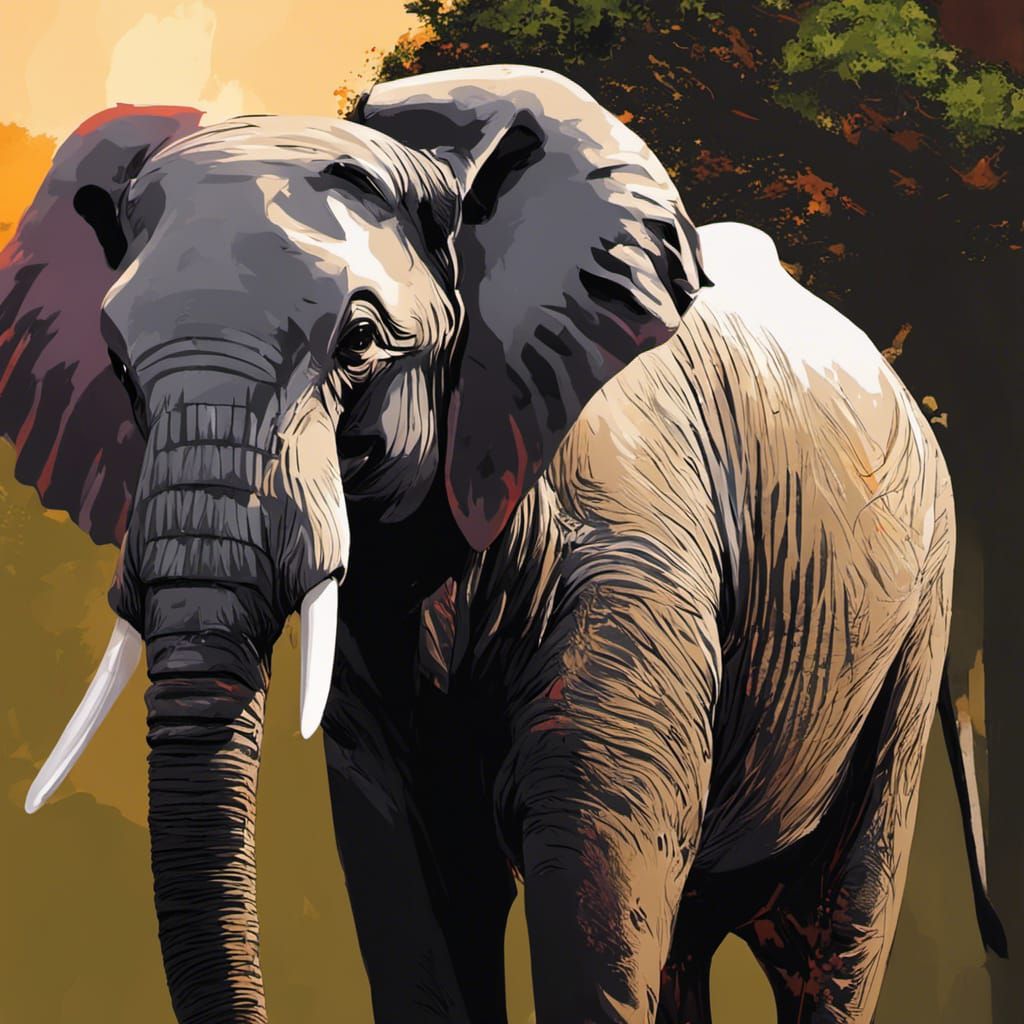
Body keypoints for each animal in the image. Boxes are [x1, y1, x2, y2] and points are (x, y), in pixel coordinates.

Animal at [0, 64, 1005, 1024]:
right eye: (118, 364)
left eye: (358, 341)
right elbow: (414, 884)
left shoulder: (631, 551)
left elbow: (594, 888)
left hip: (918, 617)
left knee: (839, 920)